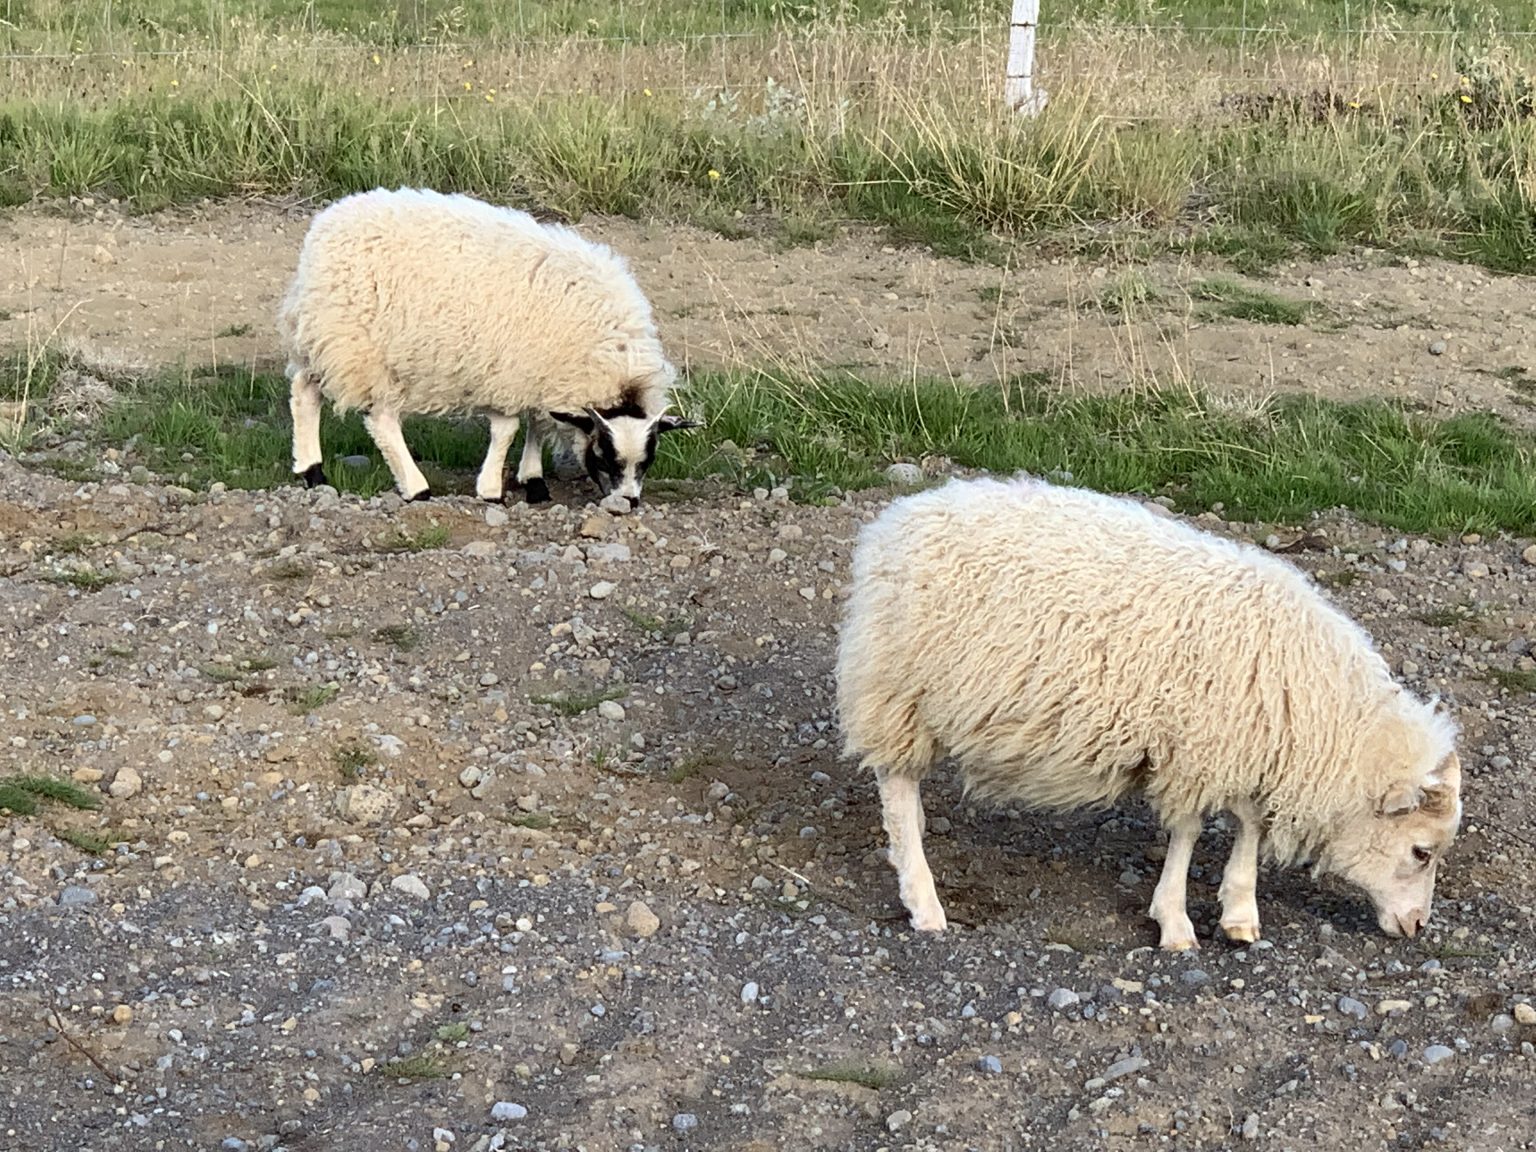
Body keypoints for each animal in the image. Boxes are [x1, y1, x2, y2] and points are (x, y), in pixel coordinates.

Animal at [277, 188, 700, 508]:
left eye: (648, 460)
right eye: (605, 456)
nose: (628, 502)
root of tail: (329, 221)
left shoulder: (539, 372)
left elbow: (537, 424)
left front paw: (533, 481)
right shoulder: (509, 373)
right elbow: (508, 429)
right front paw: (492, 489)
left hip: (325, 338)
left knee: (305, 393)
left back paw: (312, 472)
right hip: (362, 349)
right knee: (380, 418)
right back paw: (416, 487)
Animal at [836, 475, 1464, 951]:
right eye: (1421, 850)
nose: (1417, 926)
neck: (1310, 700)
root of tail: (894, 522)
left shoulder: (1242, 744)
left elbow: (1249, 823)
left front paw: (1239, 912)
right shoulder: (1196, 748)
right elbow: (1190, 831)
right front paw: (1176, 922)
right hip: (899, 694)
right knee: (896, 782)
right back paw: (923, 899)